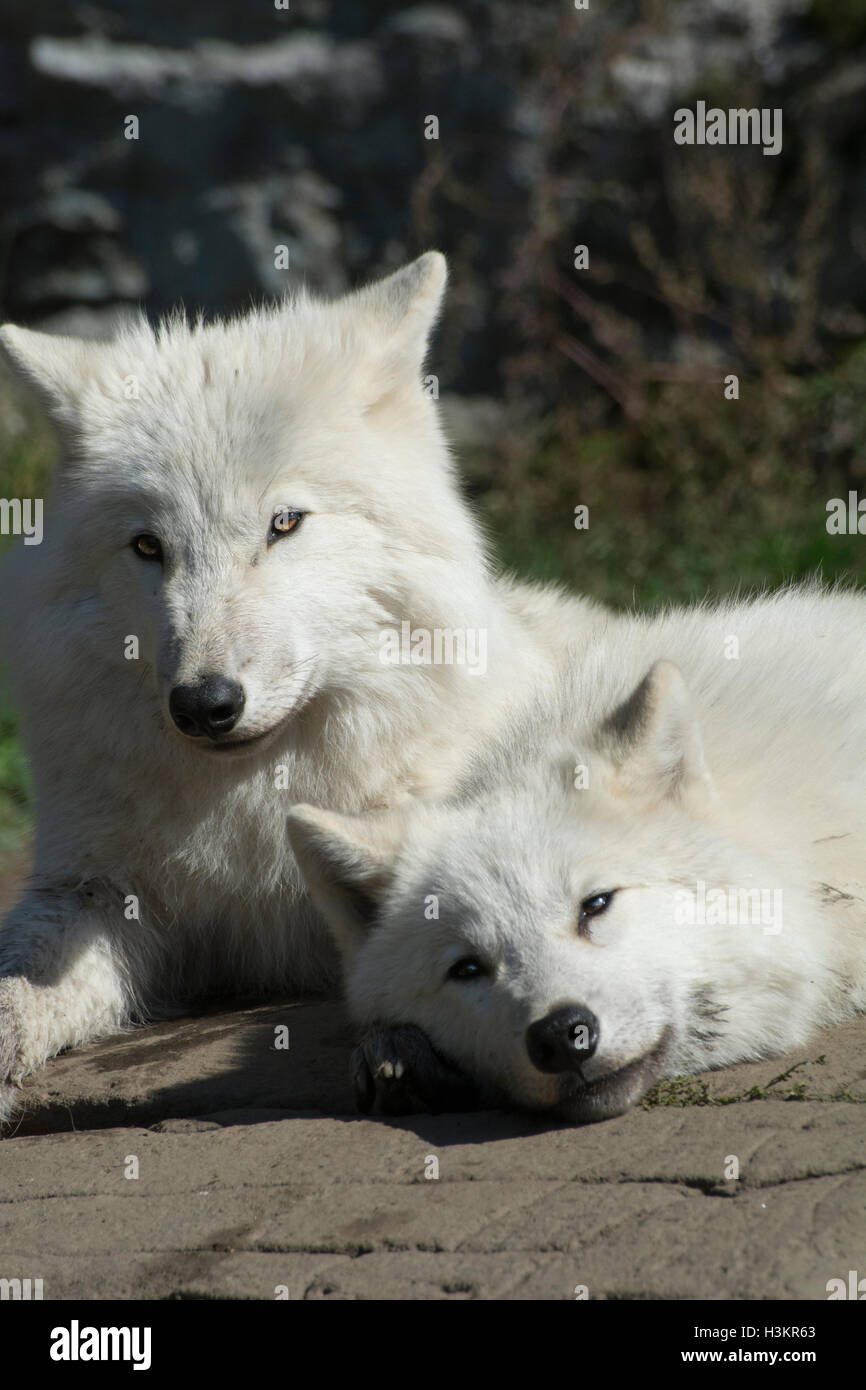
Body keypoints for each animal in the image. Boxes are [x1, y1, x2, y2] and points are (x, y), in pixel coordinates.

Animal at [0, 253, 599, 1124]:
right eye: (148, 545)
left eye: (284, 524)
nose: (205, 705)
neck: (253, 808)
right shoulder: (96, 894)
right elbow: (23, 977)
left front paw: (399, 1048)